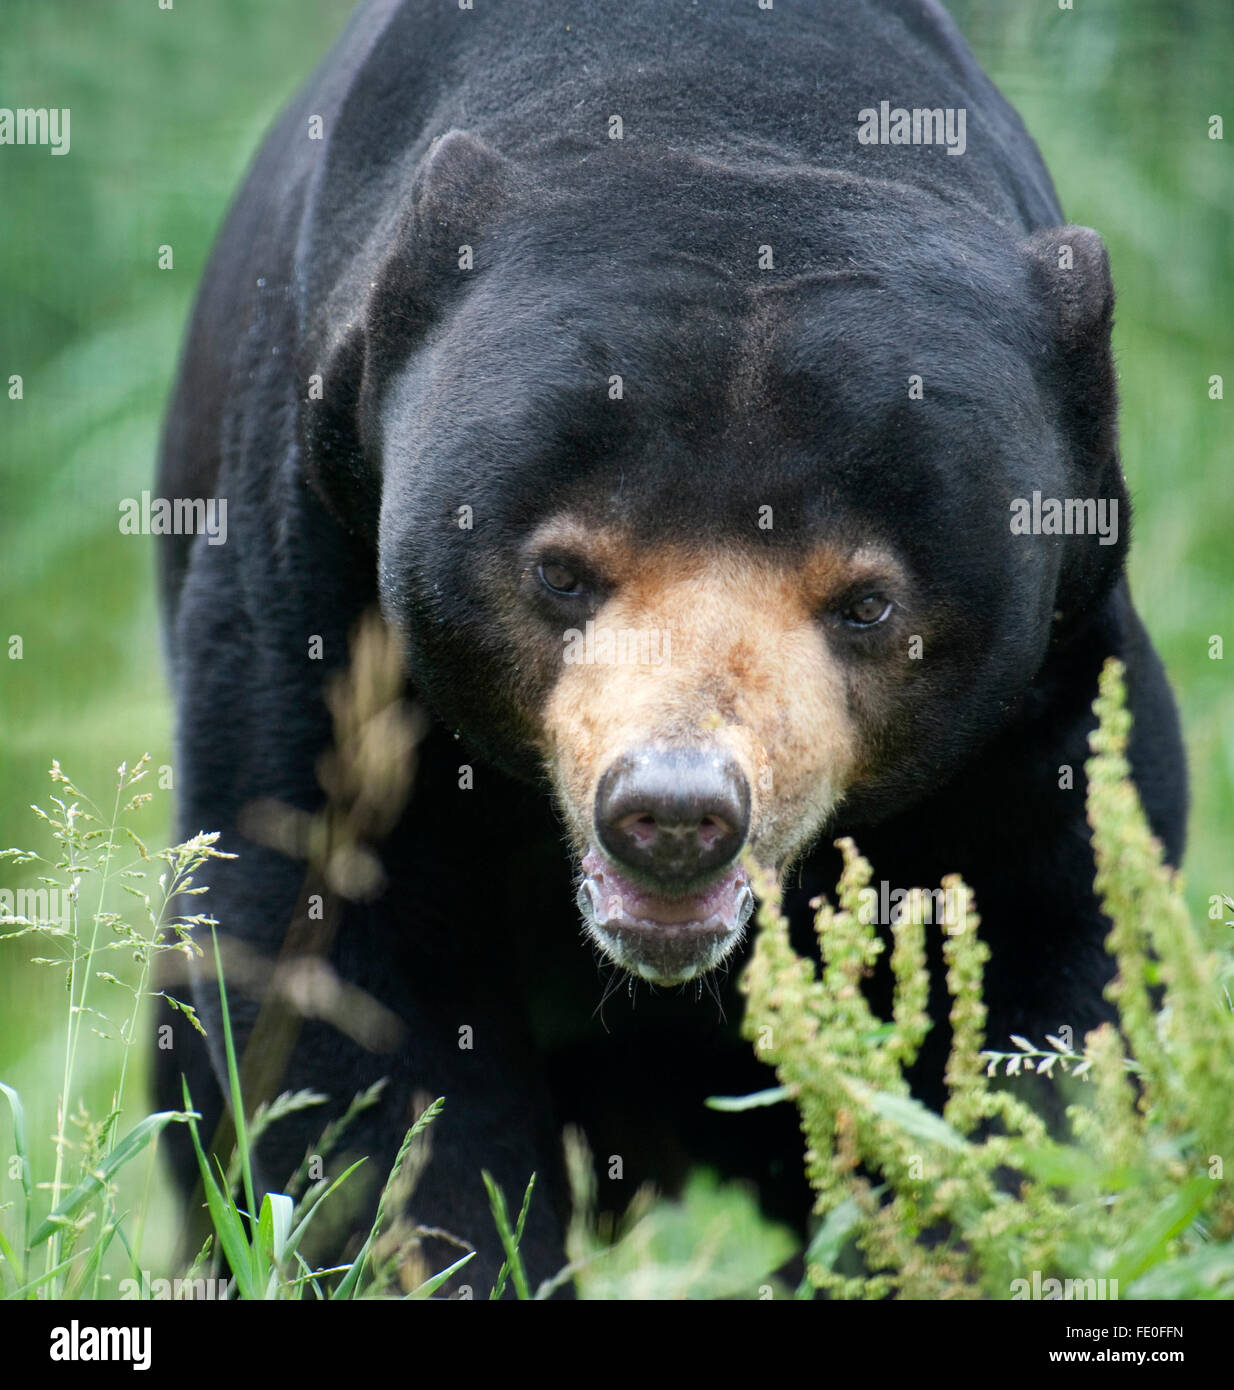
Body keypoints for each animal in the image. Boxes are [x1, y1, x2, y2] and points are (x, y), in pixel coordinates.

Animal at [155, 0, 1187, 1294]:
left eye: (866, 604)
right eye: (560, 571)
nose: (674, 813)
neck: (720, 107)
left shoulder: (1053, 662)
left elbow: (1041, 951)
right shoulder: (316, 540)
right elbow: (335, 966)